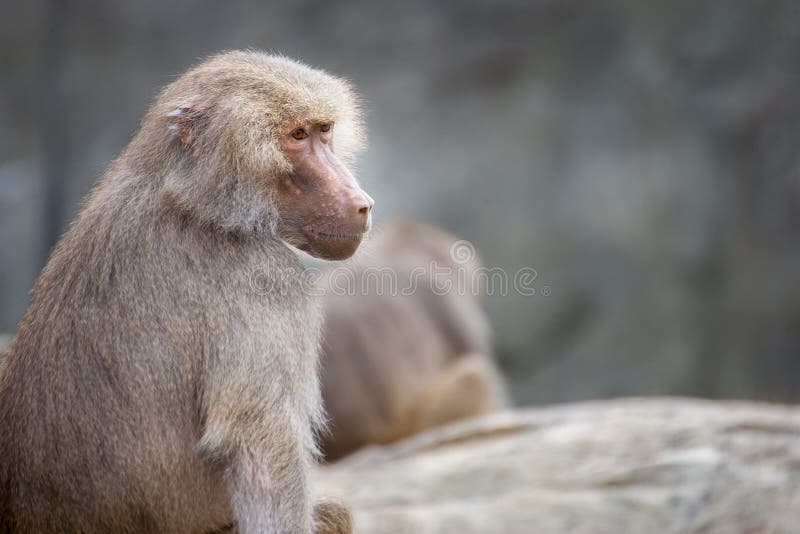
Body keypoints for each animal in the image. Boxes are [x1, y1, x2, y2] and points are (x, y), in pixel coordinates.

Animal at [0, 50, 372, 533]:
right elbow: (262, 450)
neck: (191, 199)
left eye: (323, 131)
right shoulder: (266, 281)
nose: (362, 204)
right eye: (296, 135)